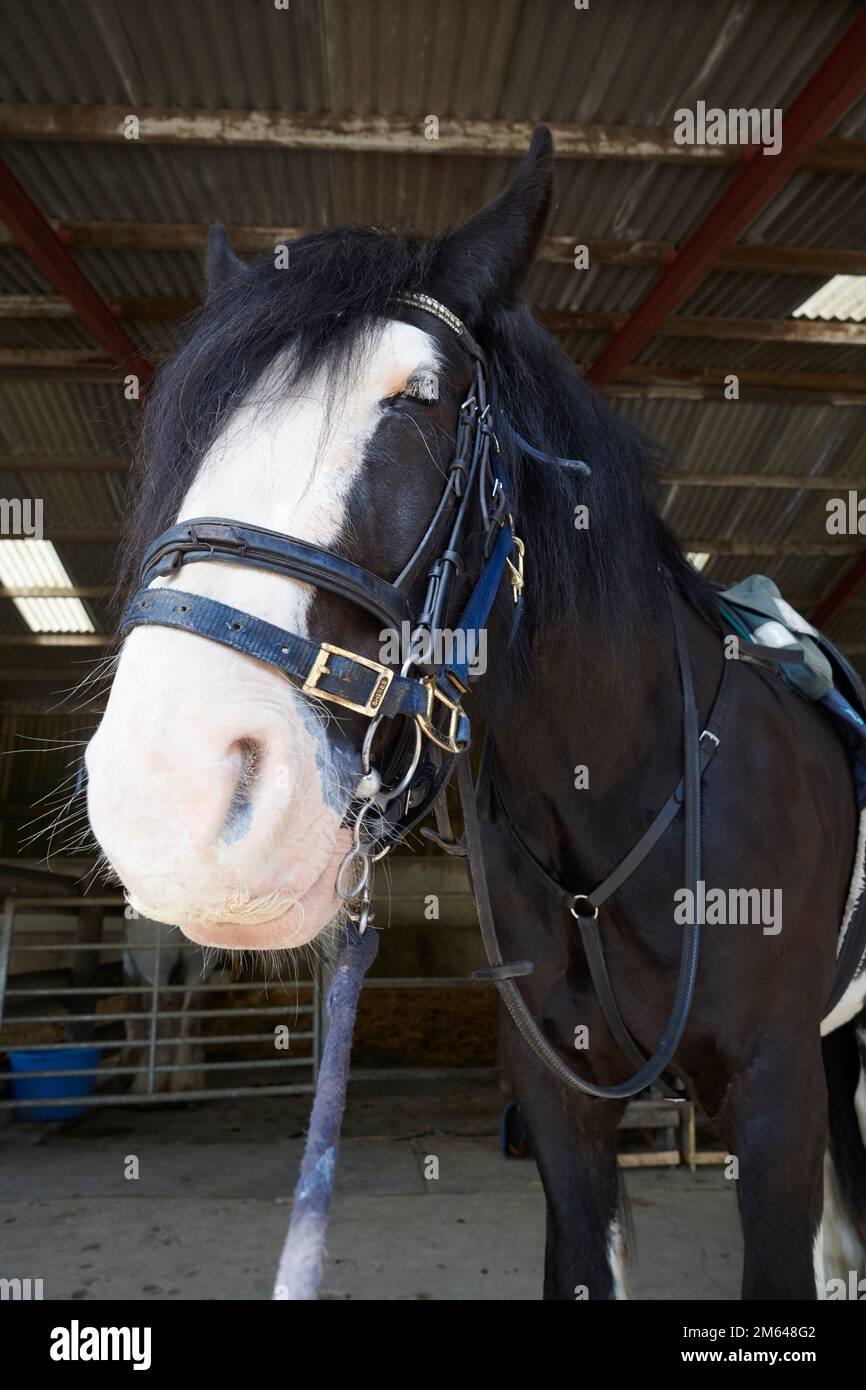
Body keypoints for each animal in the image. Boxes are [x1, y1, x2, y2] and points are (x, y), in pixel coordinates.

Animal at [86, 126, 866, 1300]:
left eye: (422, 398)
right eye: (197, 431)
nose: (166, 798)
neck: (622, 788)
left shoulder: (774, 1094)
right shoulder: (558, 1100)